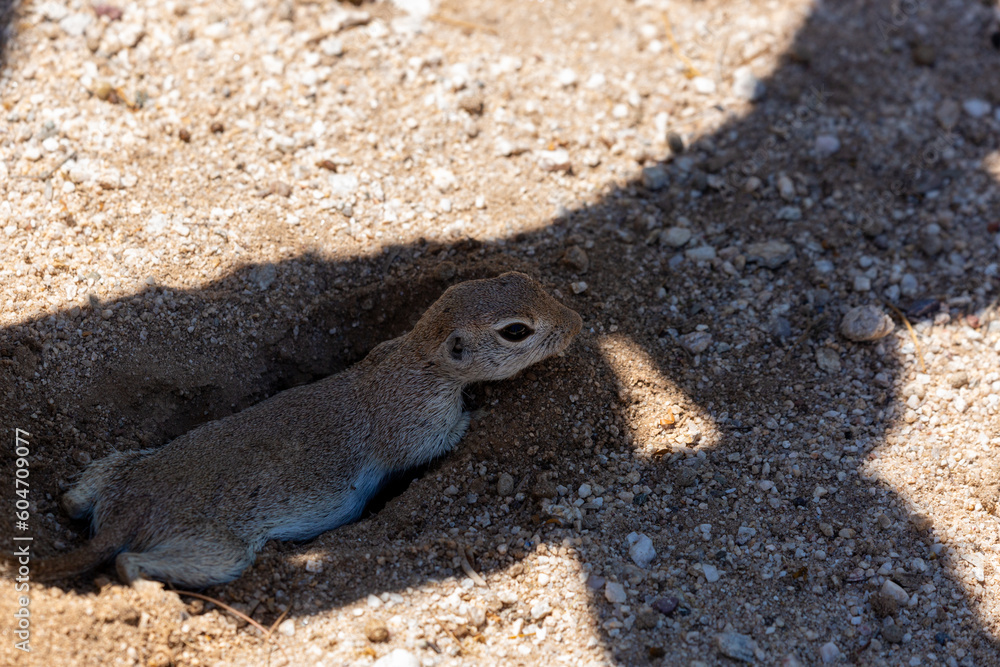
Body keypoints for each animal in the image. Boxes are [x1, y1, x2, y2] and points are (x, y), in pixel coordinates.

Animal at [21, 272, 582, 588]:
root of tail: (126, 511)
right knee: (132, 564)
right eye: (516, 331)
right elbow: (434, 442)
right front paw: (477, 414)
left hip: (120, 467)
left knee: (74, 501)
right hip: (219, 548)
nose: (576, 323)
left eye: (523, 276)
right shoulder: (418, 417)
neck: (417, 356)